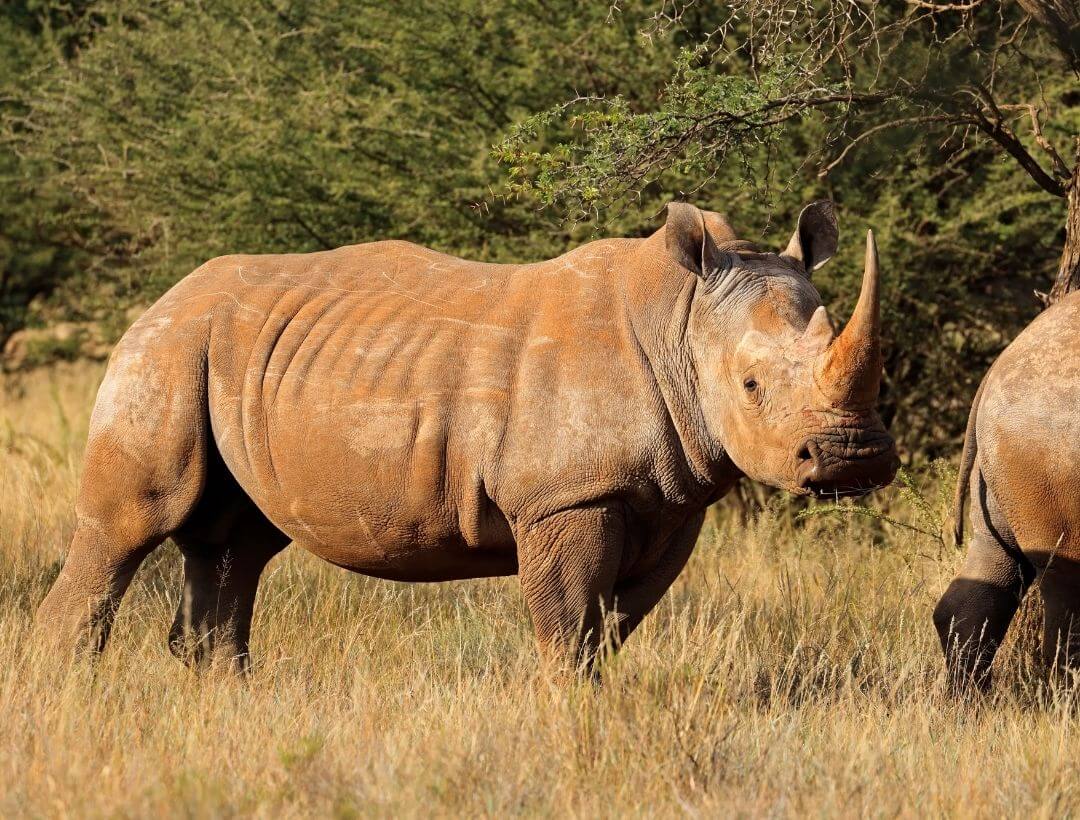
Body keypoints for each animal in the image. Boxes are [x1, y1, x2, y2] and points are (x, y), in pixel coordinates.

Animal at [36, 200, 897, 674]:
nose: (852, 460)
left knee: (235, 544)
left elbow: (610, 630)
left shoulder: (670, 500)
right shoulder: (564, 498)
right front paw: (571, 725)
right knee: (127, 525)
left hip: (224, 354)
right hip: (167, 349)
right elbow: (569, 633)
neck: (679, 319)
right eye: (750, 387)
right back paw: (71, 690)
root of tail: (162, 295)